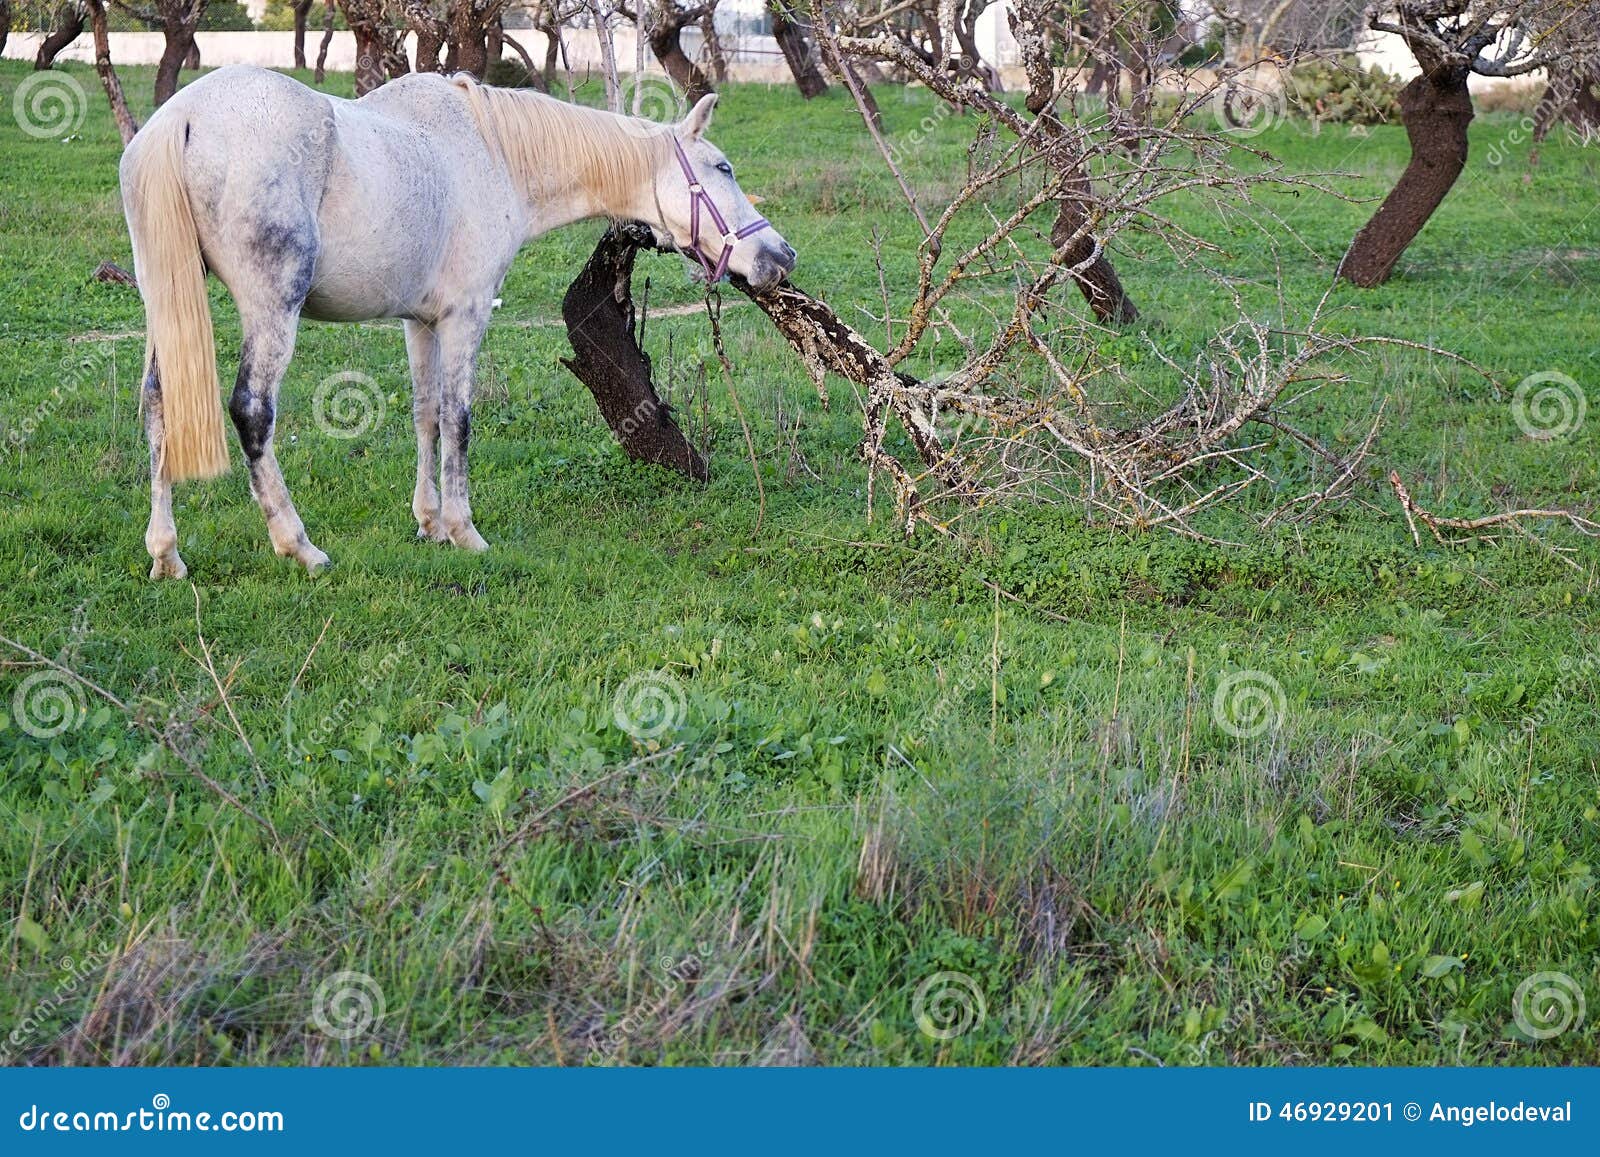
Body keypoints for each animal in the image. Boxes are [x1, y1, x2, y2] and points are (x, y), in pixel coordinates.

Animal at [120, 64, 796, 580]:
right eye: (723, 168)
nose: (781, 256)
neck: (493, 156)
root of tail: (182, 116)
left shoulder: (421, 323)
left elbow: (425, 415)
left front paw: (428, 524)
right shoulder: (465, 316)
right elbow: (459, 418)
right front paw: (463, 529)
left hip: (165, 304)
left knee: (155, 405)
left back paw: (166, 555)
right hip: (271, 309)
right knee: (252, 411)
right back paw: (298, 545)